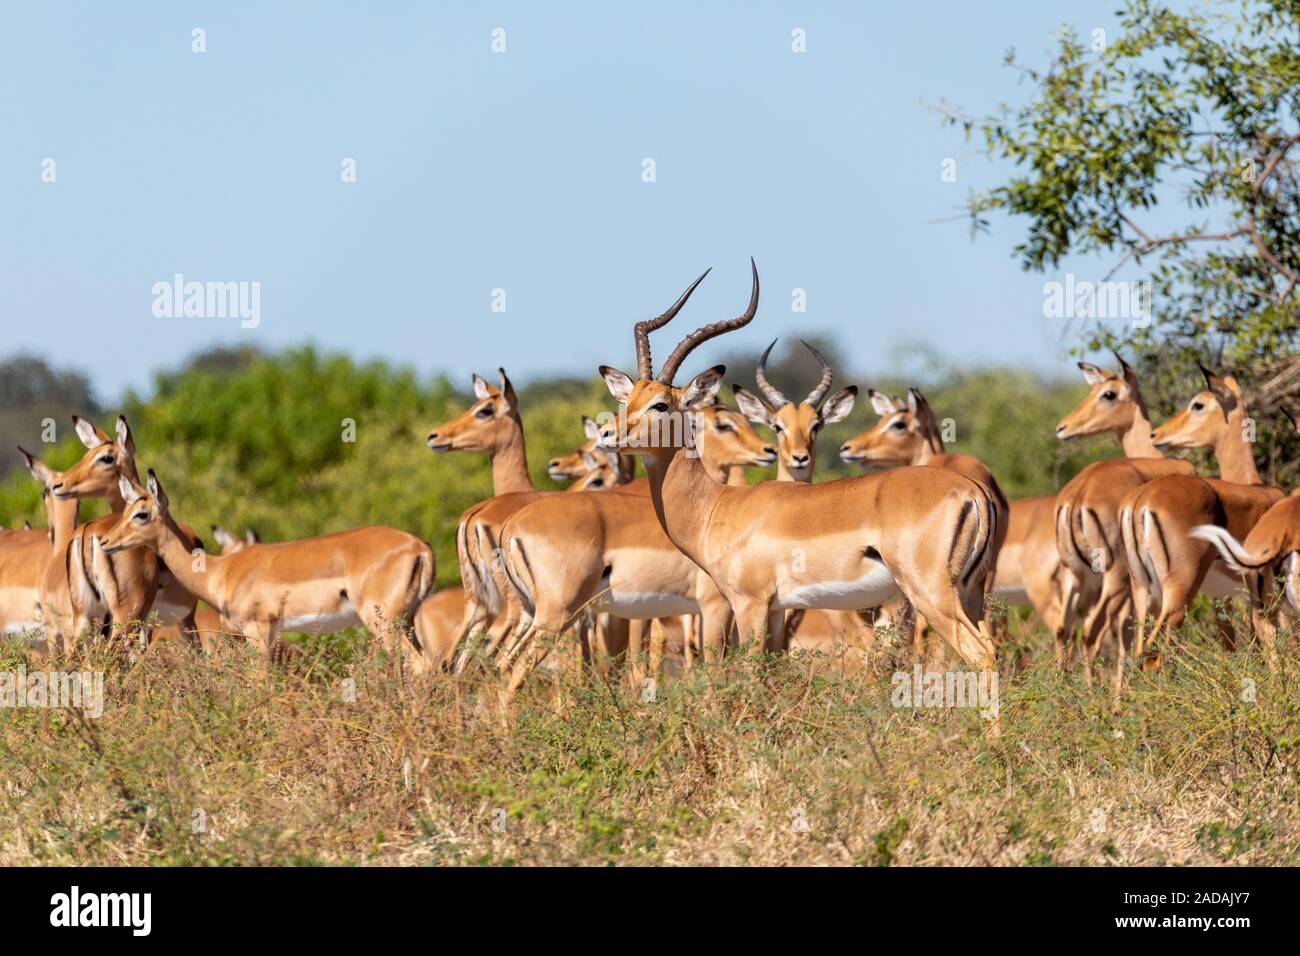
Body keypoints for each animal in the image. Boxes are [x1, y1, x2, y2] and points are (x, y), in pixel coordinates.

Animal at [98, 471, 435, 667]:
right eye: (127, 511)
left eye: (142, 514)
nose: (104, 541)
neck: (221, 571)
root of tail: (420, 547)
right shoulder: (272, 633)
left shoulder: (256, 630)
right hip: (407, 622)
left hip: (384, 623)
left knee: (418, 664)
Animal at [595, 261, 998, 667]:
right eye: (627, 400)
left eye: (660, 404)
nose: (607, 434)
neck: (718, 507)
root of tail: (972, 491)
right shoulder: (776, 611)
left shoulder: (749, 604)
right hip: (971, 593)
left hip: (930, 593)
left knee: (979, 653)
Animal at [1053, 356, 1194, 684]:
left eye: (1108, 394)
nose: (1062, 427)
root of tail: (1078, 494)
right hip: (1113, 576)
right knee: (1091, 633)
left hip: (1075, 574)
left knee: (1063, 631)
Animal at [1120, 369, 1285, 666]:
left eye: (1198, 404)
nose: (1156, 434)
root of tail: (1141, 500)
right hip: (1179, 593)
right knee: (1153, 653)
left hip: (1143, 592)